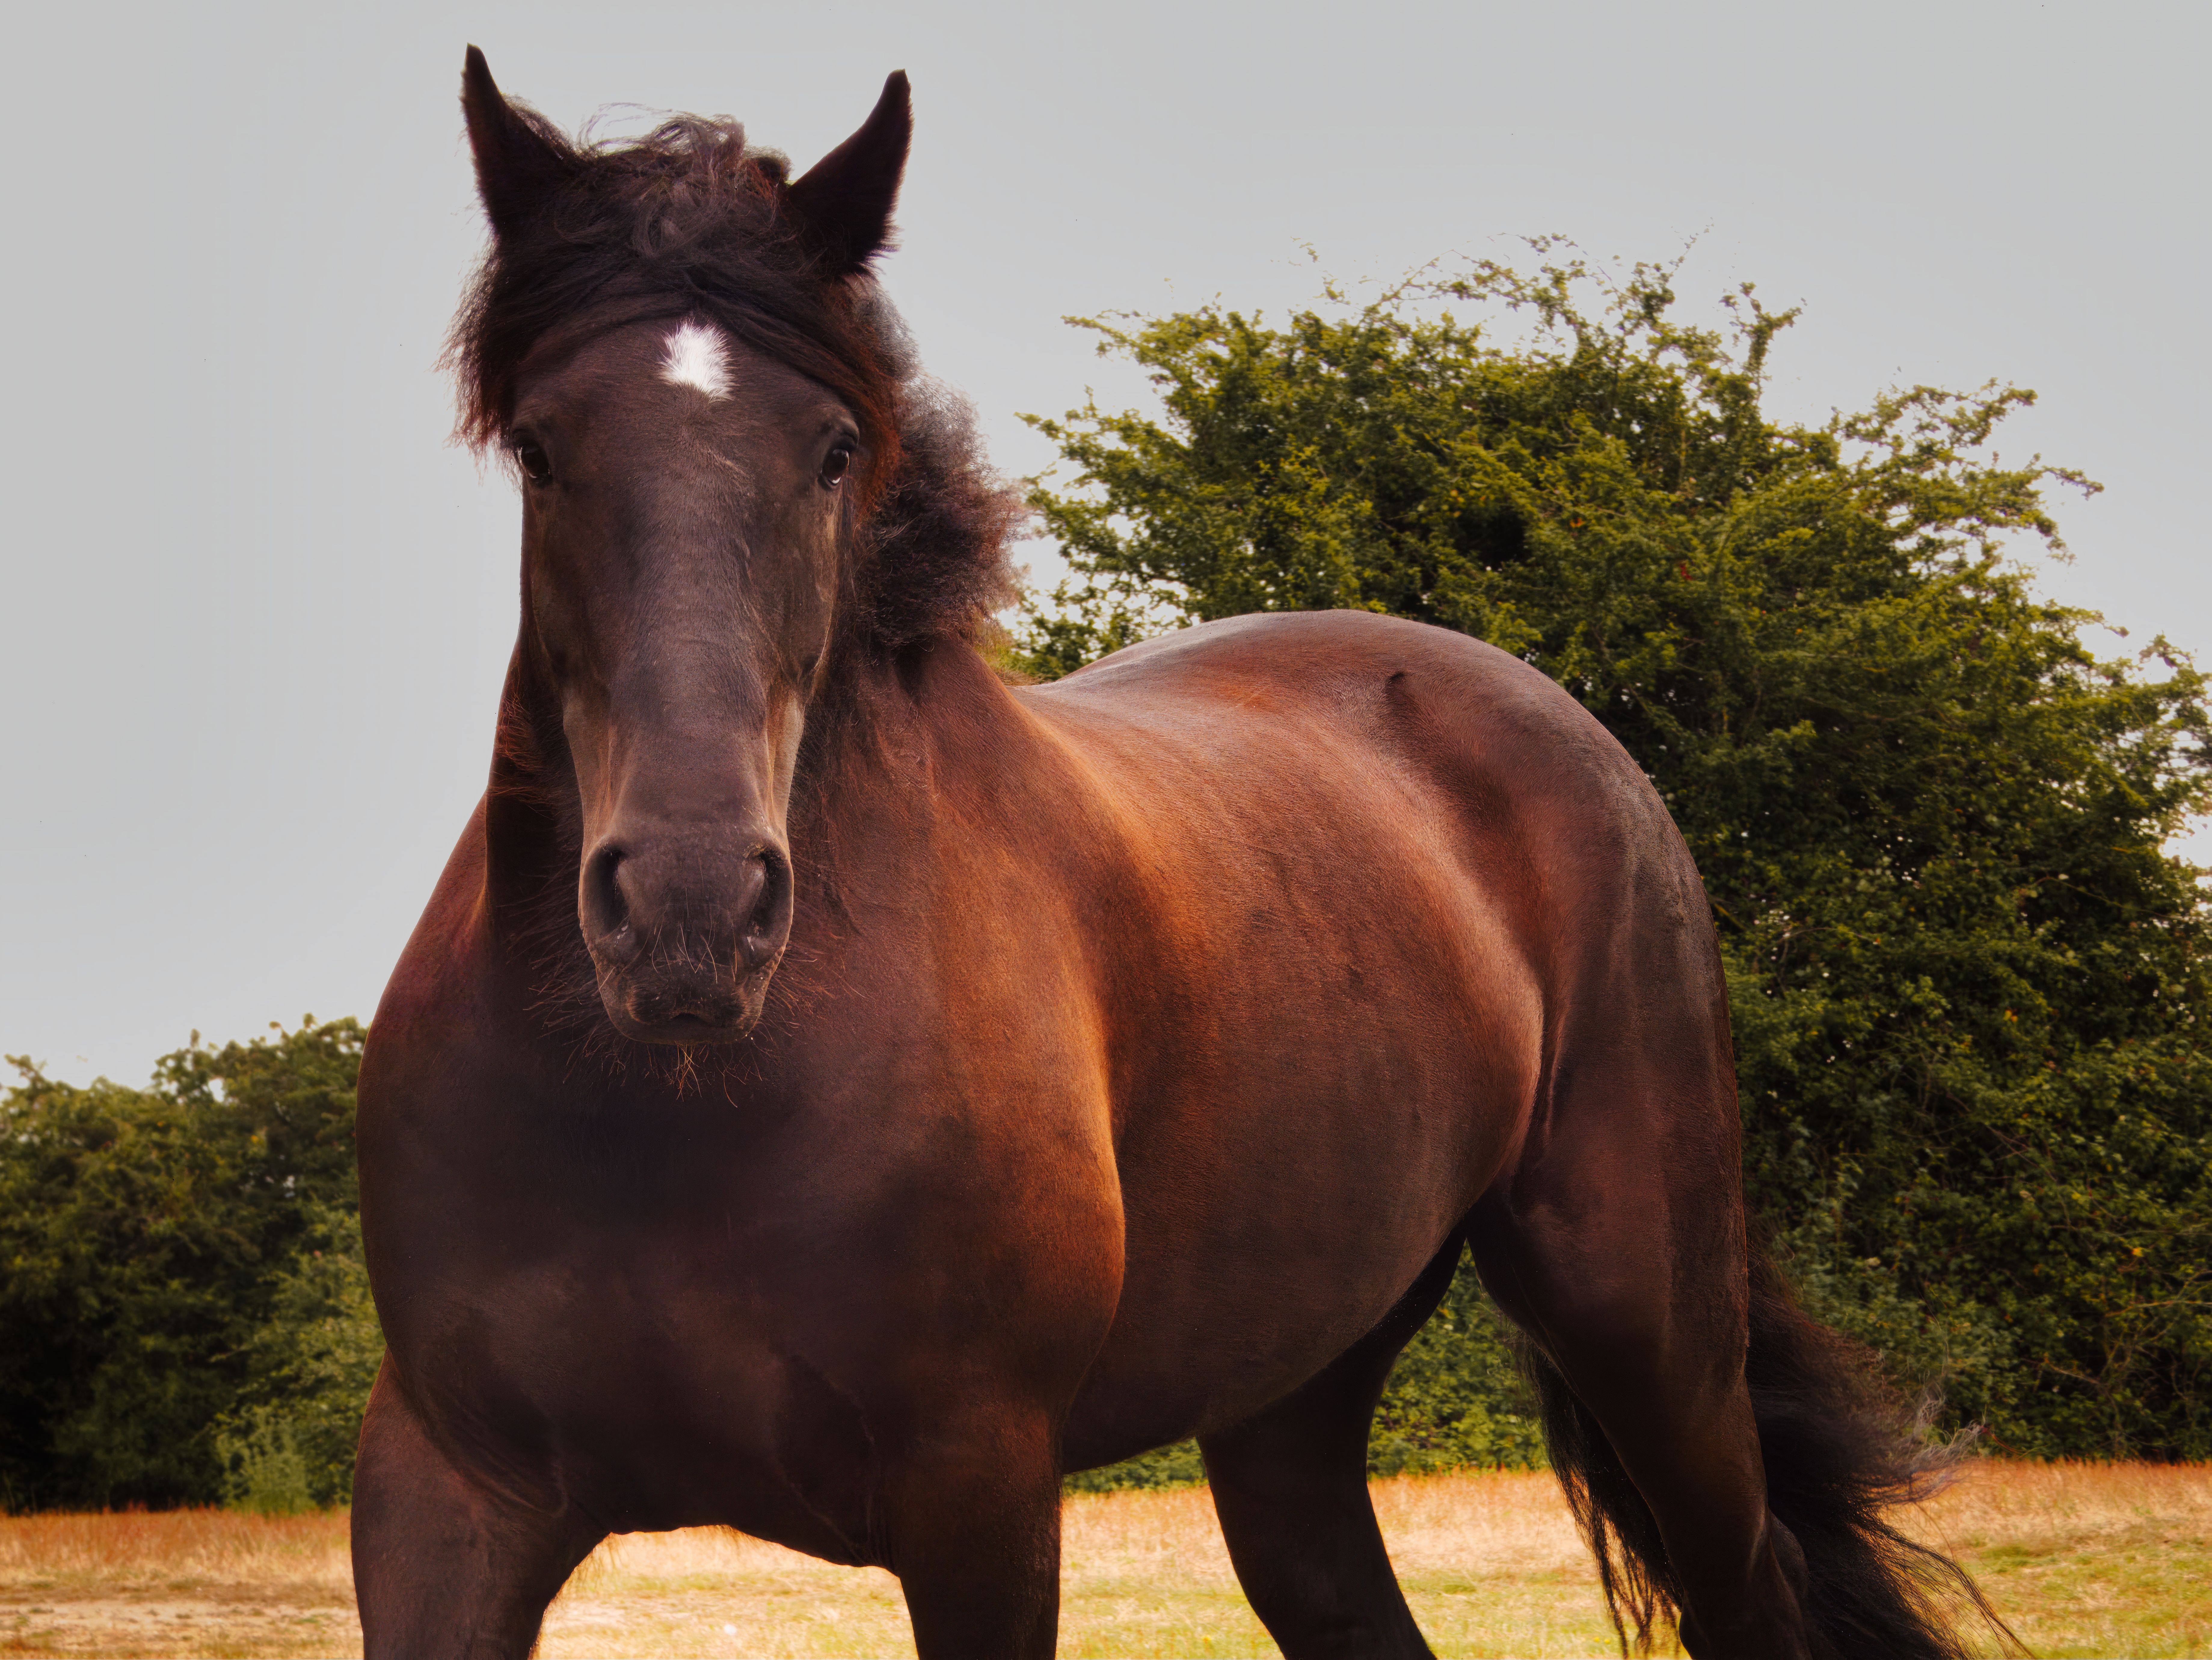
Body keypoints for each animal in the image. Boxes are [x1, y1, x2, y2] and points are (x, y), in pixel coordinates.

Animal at [351, 48, 2006, 1660]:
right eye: (542, 450)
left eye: (830, 453)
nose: (689, 912)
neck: (671, 1114)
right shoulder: (446, 1493)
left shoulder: (978, 1495)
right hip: (1293, 1393)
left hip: (1643, 1331)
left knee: (1751, 1591)